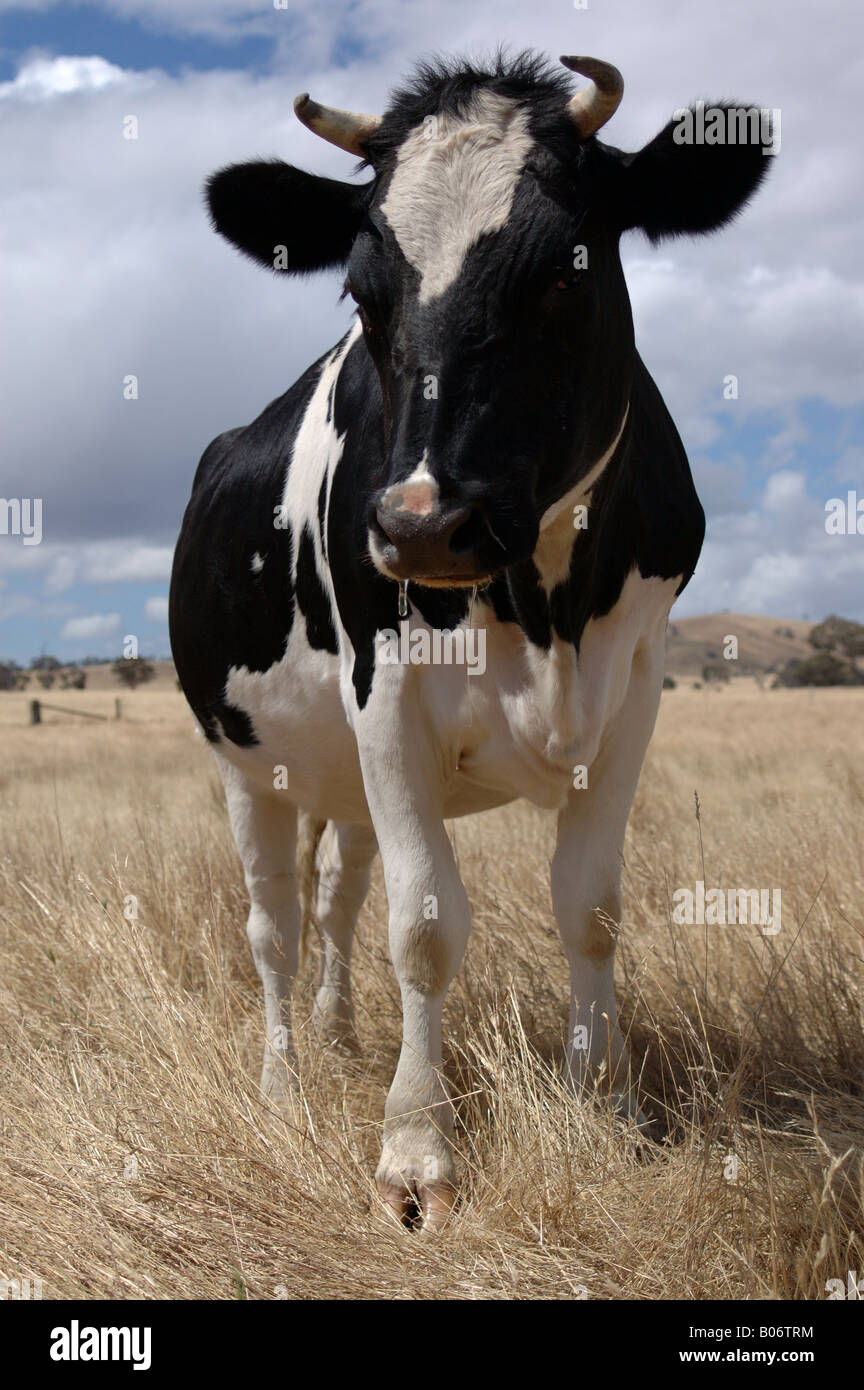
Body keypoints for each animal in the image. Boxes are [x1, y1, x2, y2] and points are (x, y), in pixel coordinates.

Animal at [170, 51, 770, 1230]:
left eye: (567, 270)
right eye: (362, 294)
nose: (418, 526)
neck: (547, 613)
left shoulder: (637, 687)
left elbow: (591, 907)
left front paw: (607, 1106)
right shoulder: (385, 693)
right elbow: (426, 924)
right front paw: (415, 1152)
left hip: (340, 784)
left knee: (335, 898)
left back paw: (340, 1036)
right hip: (243, 761)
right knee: (273, 924)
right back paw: (283, 1082)